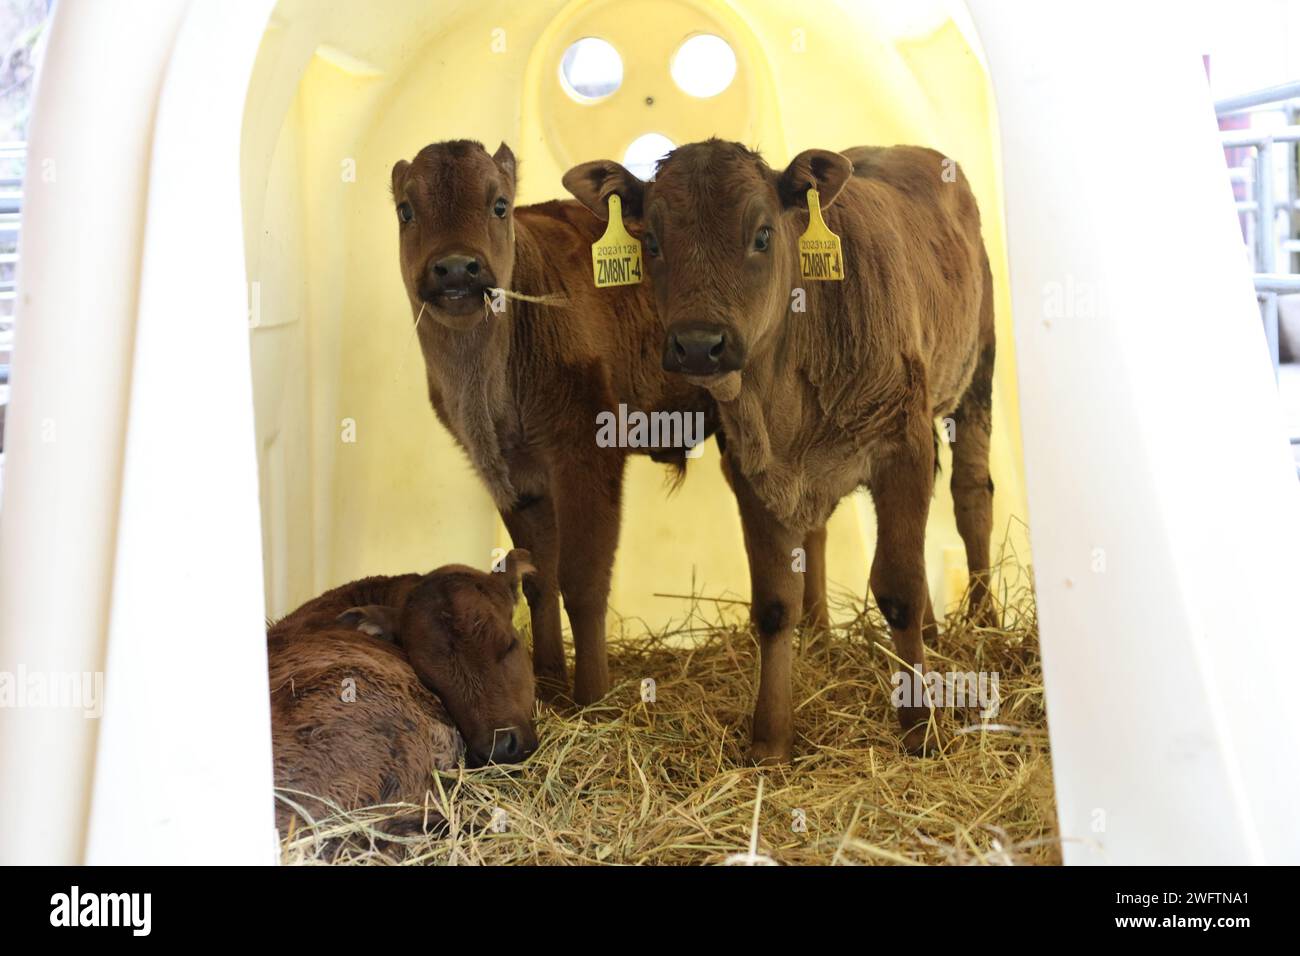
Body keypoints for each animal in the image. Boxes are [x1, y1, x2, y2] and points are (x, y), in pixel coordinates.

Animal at [564, 140, 996, 761]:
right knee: (818, 535)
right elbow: (773, 603)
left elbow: (900, 586)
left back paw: (985, 622)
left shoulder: (903, 444)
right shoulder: (750, 468)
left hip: (977, 369)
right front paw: (770, 740)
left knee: (970, 497)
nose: (699, 344)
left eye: (763, 234)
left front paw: (919, 727)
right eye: (652, 242)